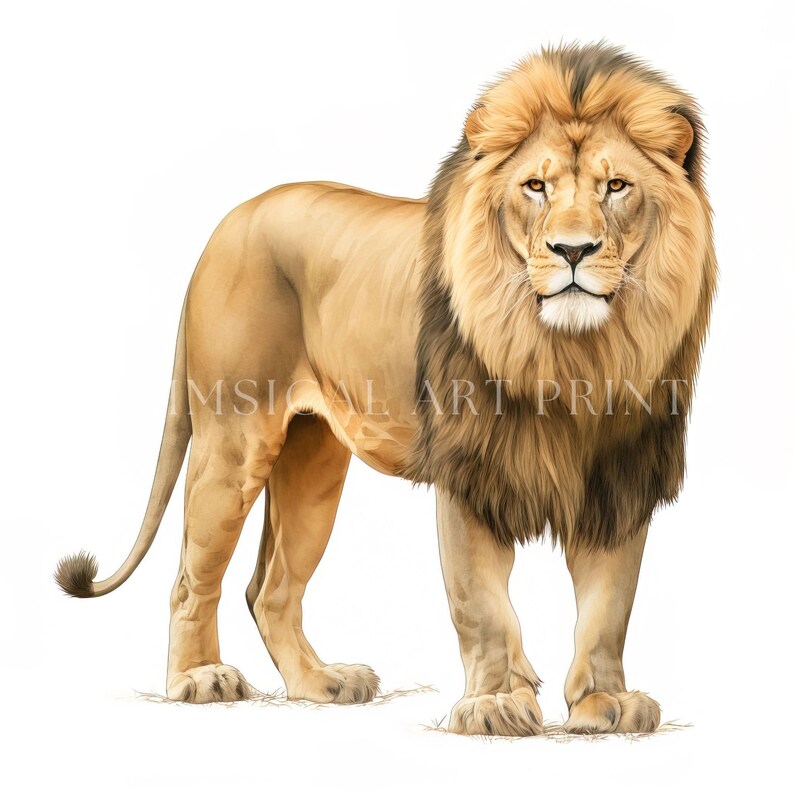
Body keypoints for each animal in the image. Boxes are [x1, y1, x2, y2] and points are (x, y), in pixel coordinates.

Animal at [55, 43, 716, 737]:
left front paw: (603, 704)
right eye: (535, 187)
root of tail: (226, 226)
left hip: (313, 462)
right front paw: (494, 705)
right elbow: (483, 605)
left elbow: (607, 609)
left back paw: (321, 683)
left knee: (269, 589)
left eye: (616, 187)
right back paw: (199, 678)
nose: (572, 249)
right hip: (231, 439)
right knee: (192, 577)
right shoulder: (468, 472)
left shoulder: (620, 478)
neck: (572, 357)